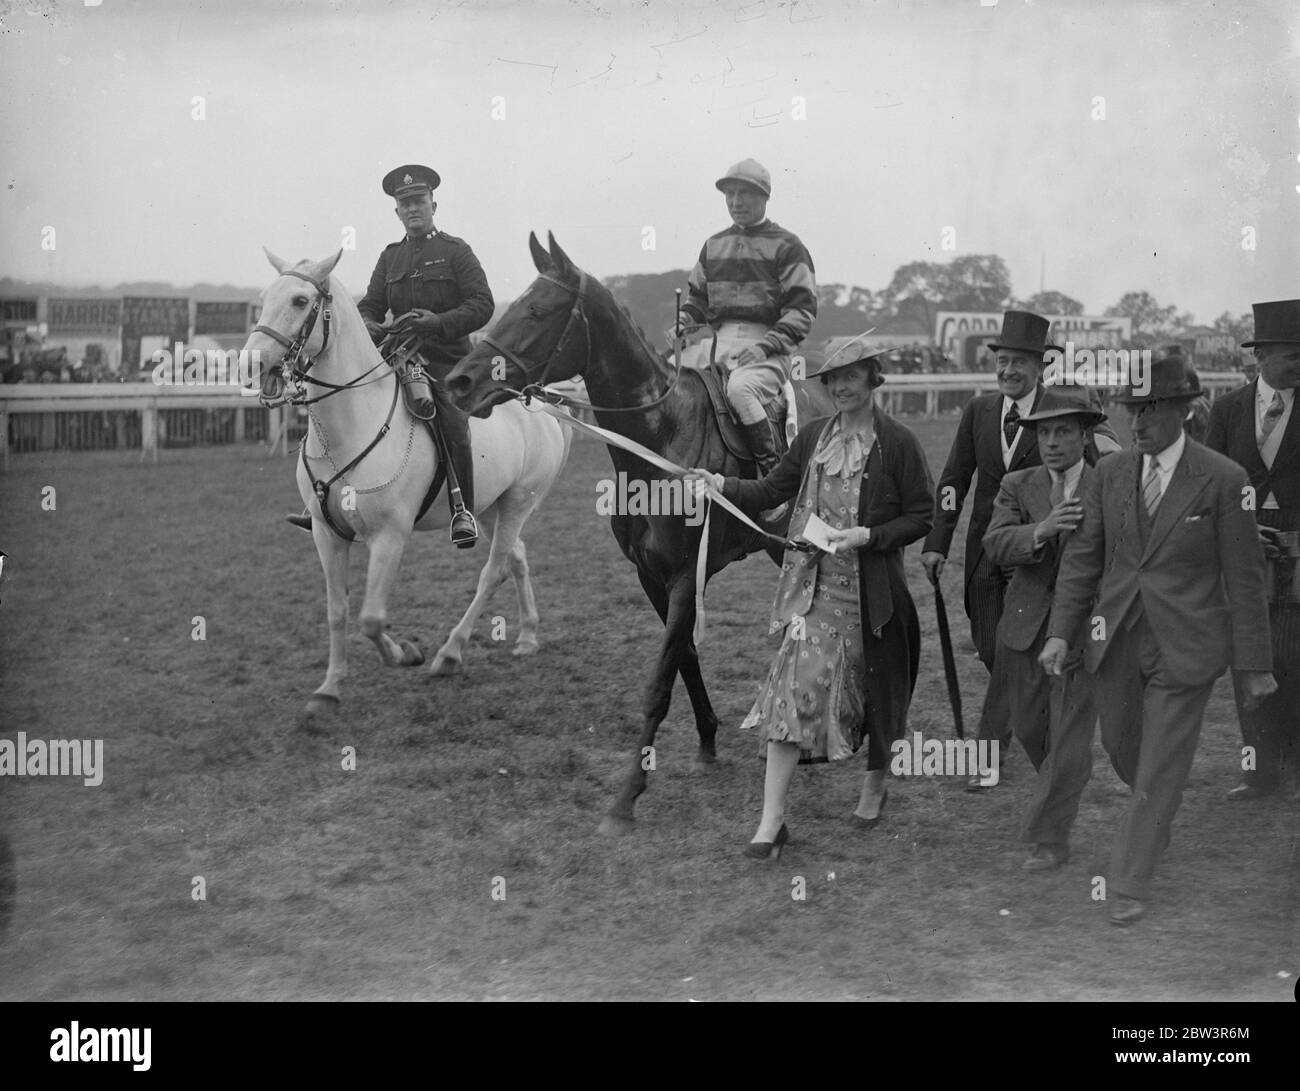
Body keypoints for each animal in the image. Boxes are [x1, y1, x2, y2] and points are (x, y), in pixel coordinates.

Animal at [244, 249, 569, 717]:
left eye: (301, 301)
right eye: (263, 298)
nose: (251, 362)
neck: (353, 427)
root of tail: (538, 402)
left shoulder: (389, 537)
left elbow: (371, 618)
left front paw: (405, 654)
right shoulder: (326, 535)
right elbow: (337, 611)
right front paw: (329, 688)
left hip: (518, 504)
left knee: (493, 572)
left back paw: (449, 654)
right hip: (491, 508)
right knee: (517, 559)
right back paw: (527, 636)